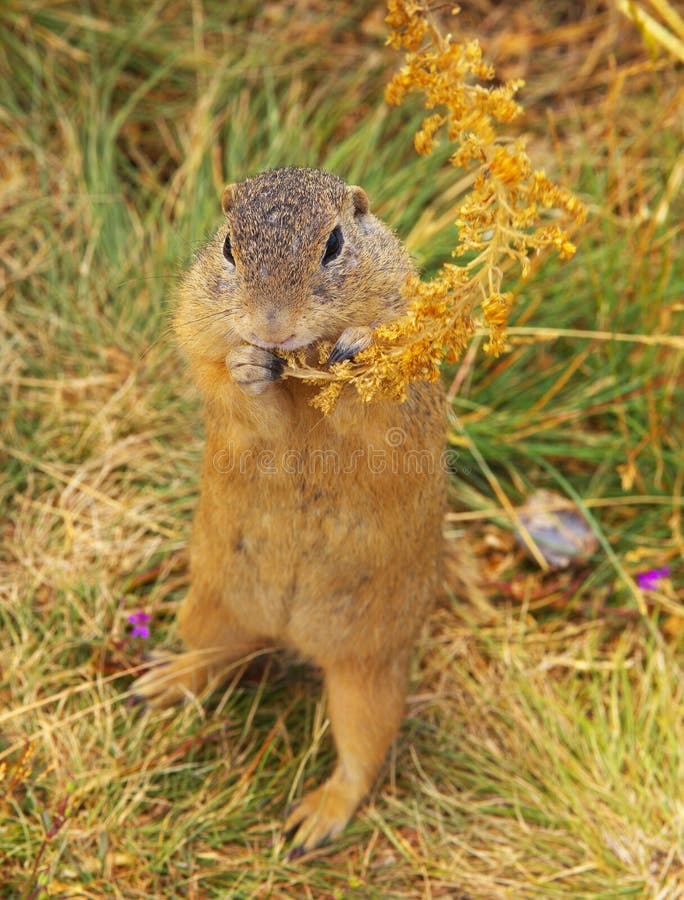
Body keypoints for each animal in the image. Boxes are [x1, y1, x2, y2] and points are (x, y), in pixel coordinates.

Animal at [132, 167, 447, 855]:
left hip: (369, 671)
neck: (299, 373)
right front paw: (249, 363)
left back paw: (313, 821)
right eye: (229, 246)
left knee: (362, 755)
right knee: (223, 654)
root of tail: (287, 631)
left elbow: (371, 406)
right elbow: (233, 386)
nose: (271, 327)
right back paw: (160, 682)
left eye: (334, 243)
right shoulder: (202, 339)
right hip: (211, 606)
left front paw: (355, 347)